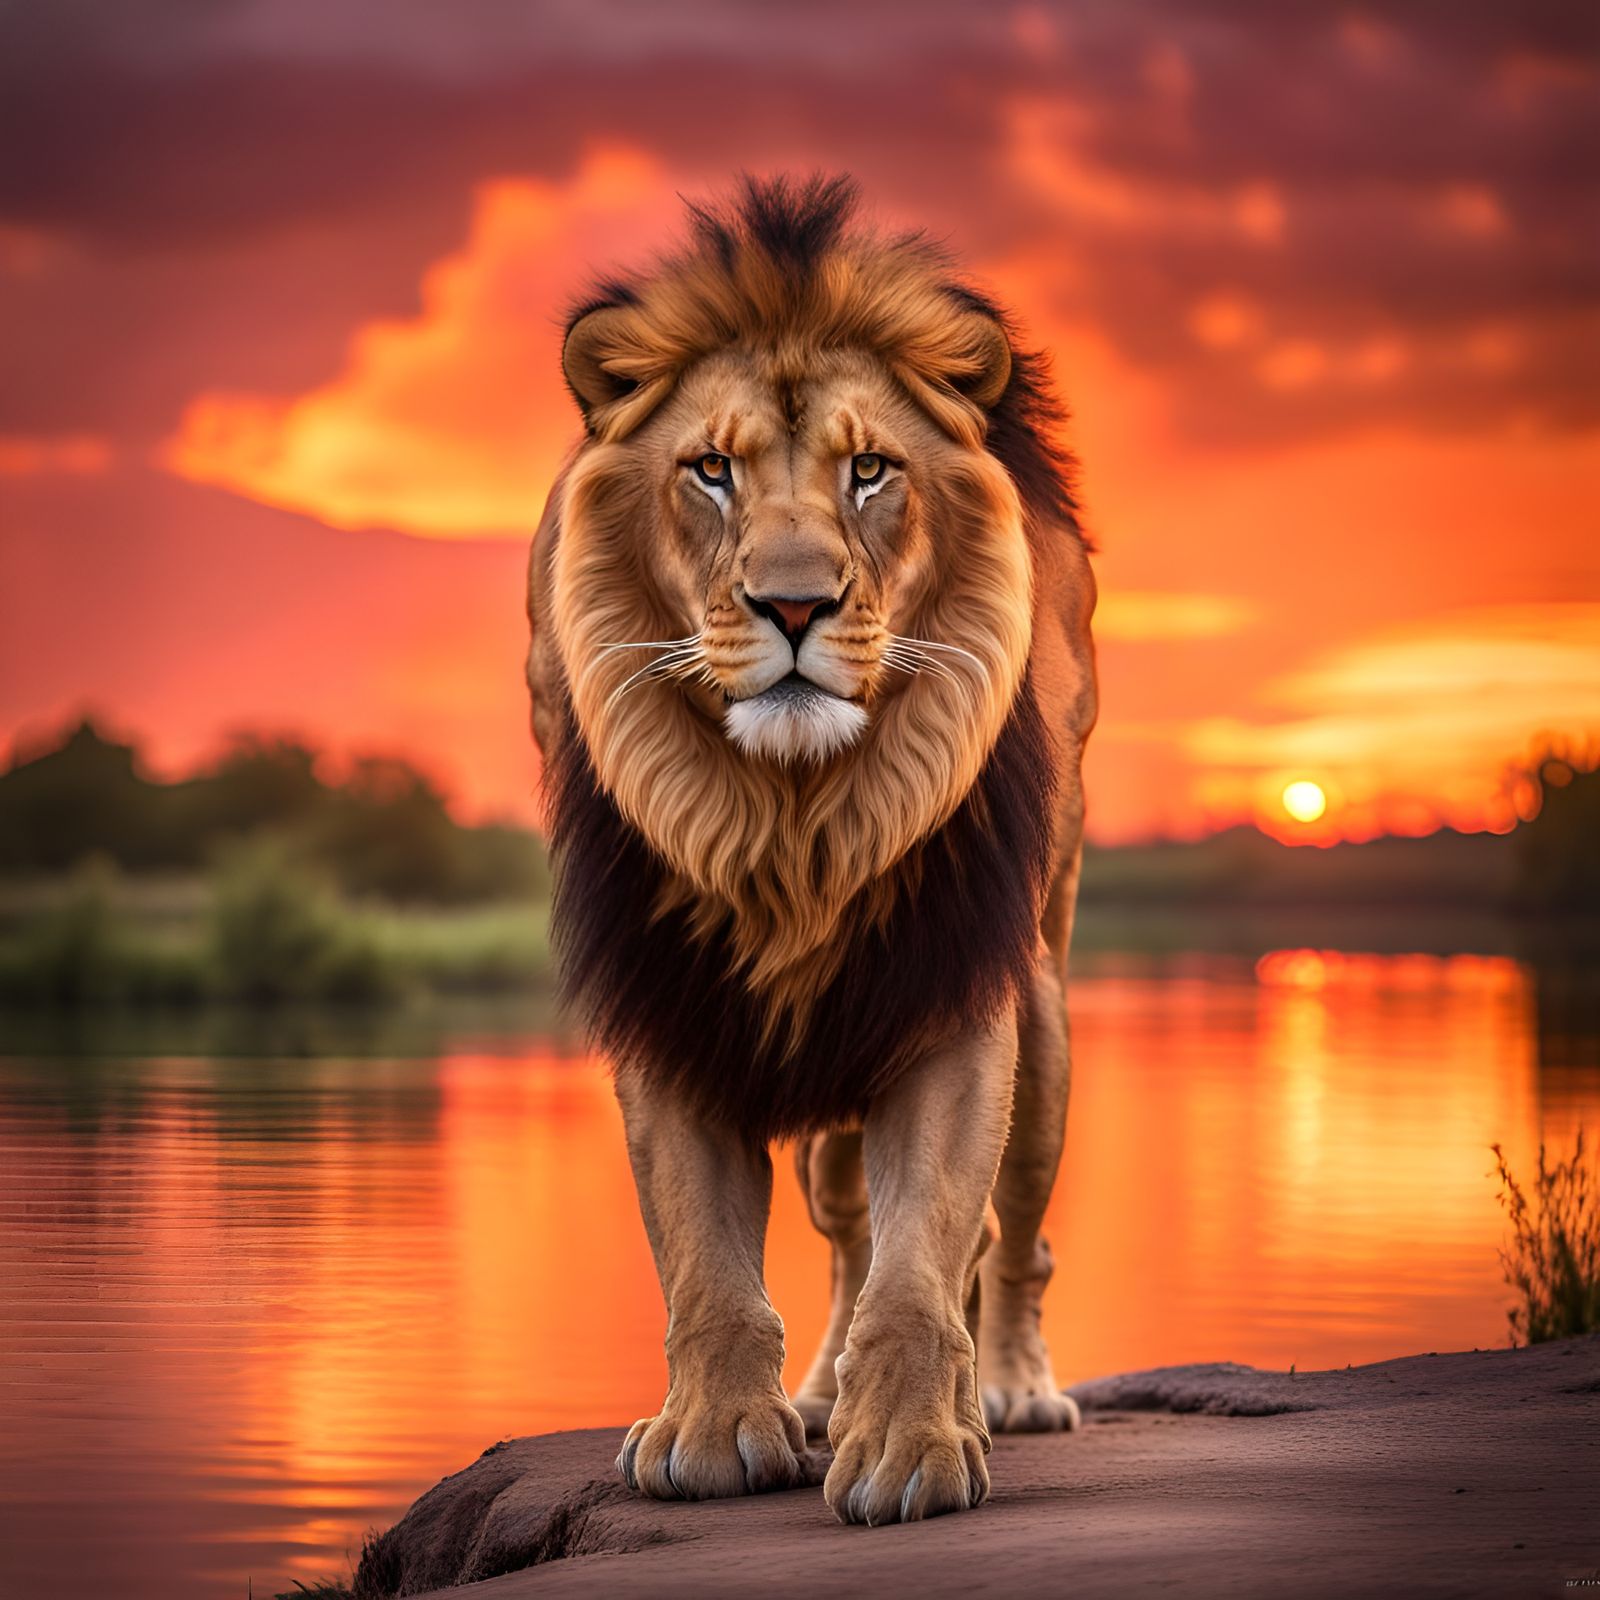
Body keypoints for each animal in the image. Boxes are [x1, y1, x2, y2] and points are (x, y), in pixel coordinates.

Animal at [526, 173, 1097, 1525]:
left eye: (871, 470)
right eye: (711, 471)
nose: (794, 604)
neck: (793, 820)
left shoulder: (955, 989)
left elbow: (928, 1255)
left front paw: (912, 1448)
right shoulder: (667, 987)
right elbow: (702, 1252)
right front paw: (712, 1431)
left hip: (1044, 1025)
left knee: (1012, 1239)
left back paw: (1008, 1392)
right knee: (846, 1232)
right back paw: (828, 1390)